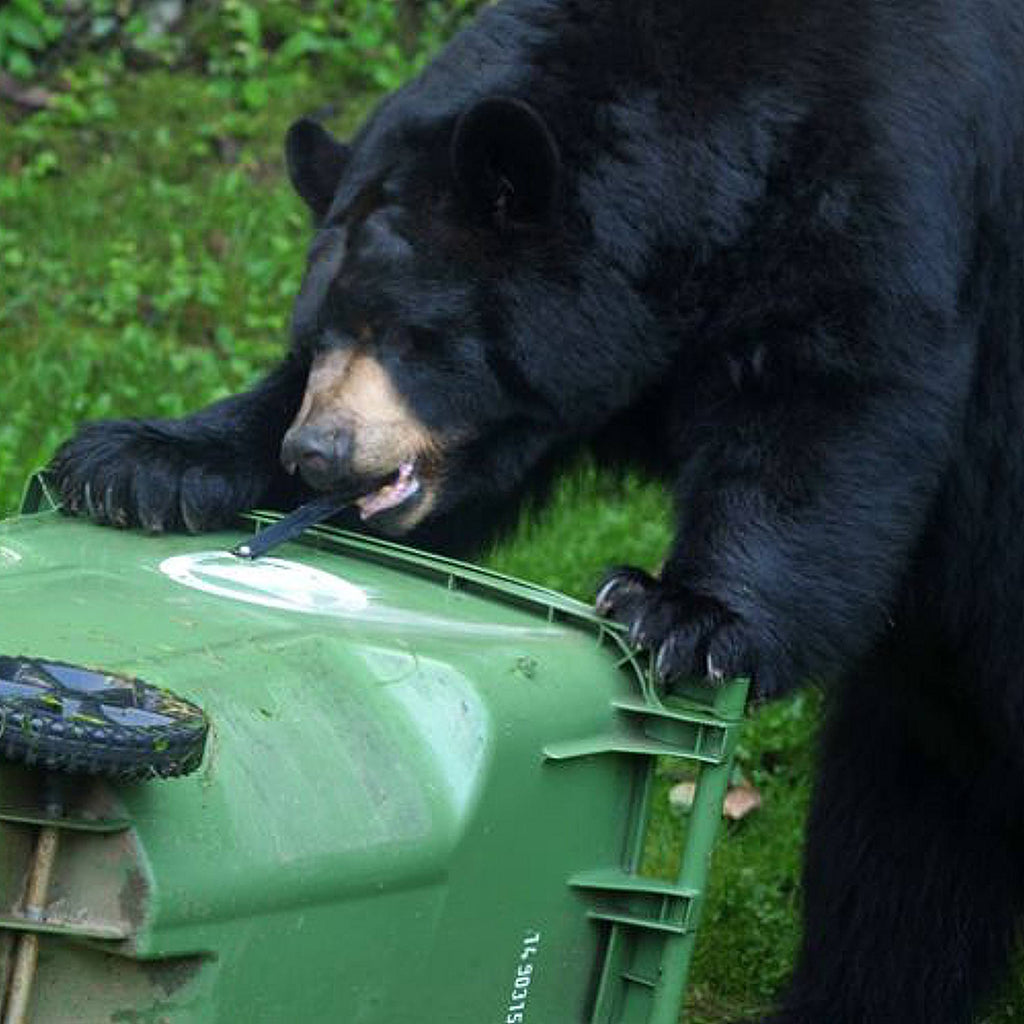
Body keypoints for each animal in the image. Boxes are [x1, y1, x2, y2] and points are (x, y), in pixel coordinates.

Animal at [49, 1, 1024, 1021]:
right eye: (317, 332)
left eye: (405, 330)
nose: (316, 452)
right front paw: (142, 463)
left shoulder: (885, 179)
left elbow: (828, 393)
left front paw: (681, 612)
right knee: (909, 817)